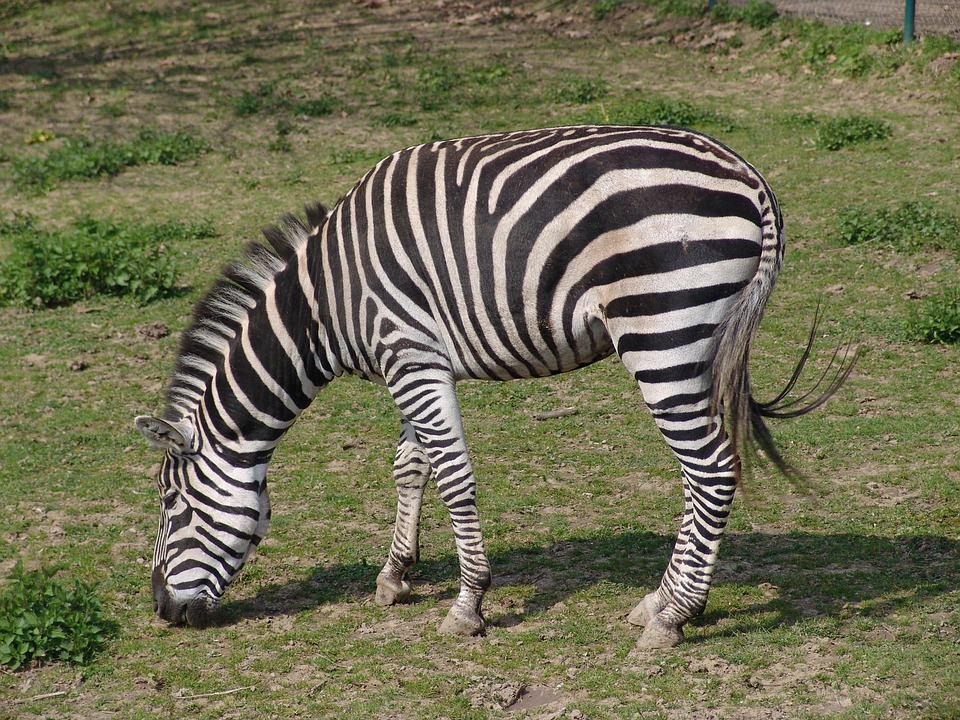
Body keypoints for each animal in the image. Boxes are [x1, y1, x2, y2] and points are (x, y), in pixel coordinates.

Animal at [135, 125, 852, 649]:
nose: (163, 610)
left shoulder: (408, 352)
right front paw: (397, 575)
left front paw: (468, 605)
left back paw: (672, 617)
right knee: (704, 471)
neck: (322, 306)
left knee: (712, 470)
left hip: (661, 332)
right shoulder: (414, 359)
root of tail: (748, 176)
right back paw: (663, 600)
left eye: (172, 505)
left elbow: (453, 474)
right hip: (701, 340)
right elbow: (411, 464)